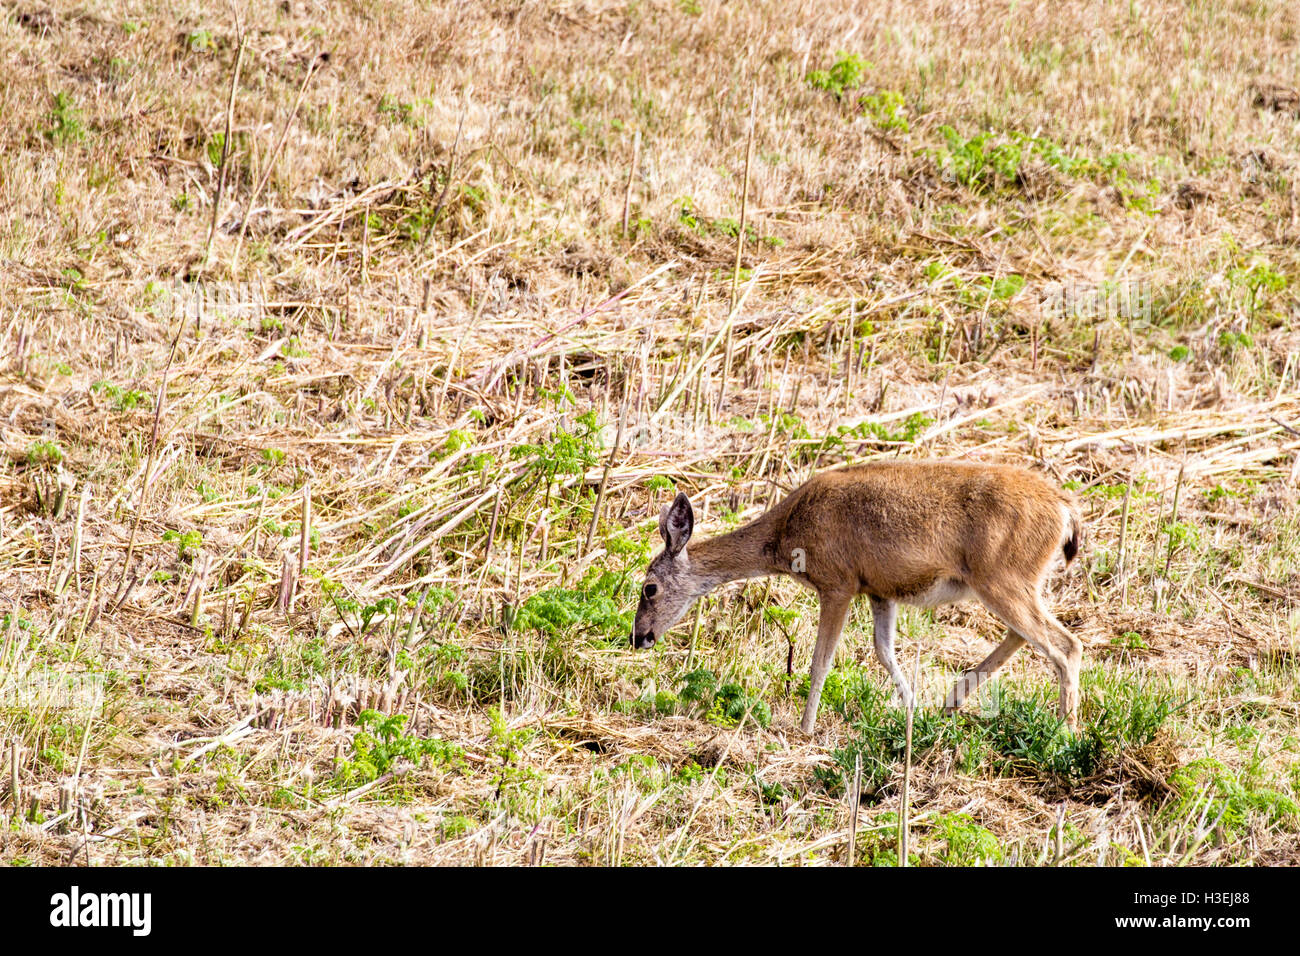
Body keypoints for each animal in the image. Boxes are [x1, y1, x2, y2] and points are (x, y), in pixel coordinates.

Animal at [630, 460, 1083, 736]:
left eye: (649, 588)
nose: (639, 637)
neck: (784, 536)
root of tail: (1066, 508)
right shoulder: (880, 590)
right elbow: (885, 651)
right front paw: (912, 712)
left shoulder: (838, 583)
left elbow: (820, 661)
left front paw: (805, 728)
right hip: (1012, 581)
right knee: (1026, 635)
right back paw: (951, 703)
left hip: (1003, 576)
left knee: (1065, 644)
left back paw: (1064, 731)